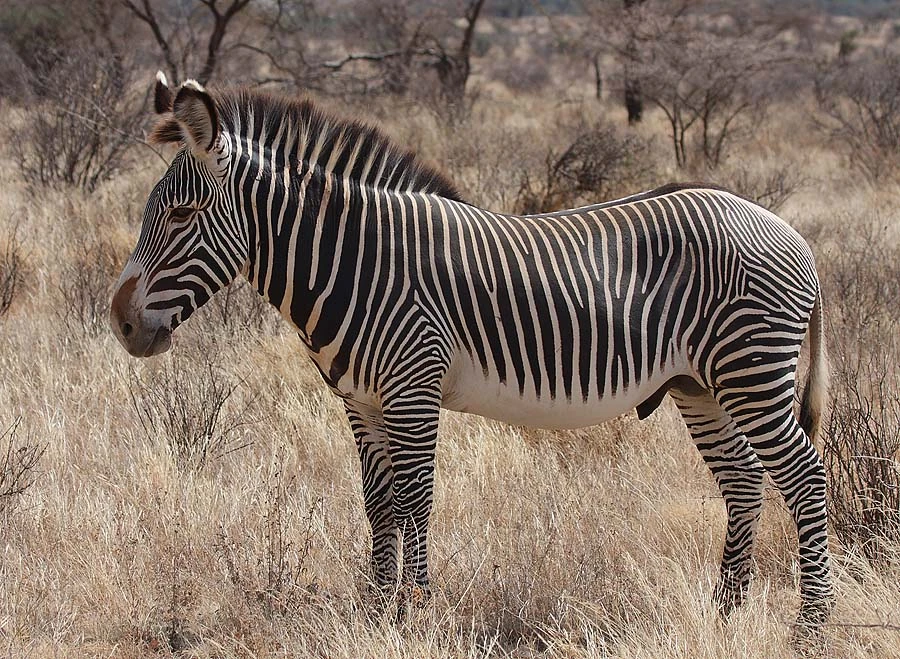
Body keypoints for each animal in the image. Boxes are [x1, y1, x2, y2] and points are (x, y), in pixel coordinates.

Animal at [110, 74, 833, 628]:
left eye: (181, 215)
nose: (120, 322)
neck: (359, 262)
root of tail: (788, 231)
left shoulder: (412, 385)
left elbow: (415, 498)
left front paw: (417, 612)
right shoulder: (361, 401)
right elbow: (379, 502)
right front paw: (379, 612)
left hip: (751, 372)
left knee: (804, 477)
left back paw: (810, 625)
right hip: (701, 385)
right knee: (743, 481)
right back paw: (724, 614)